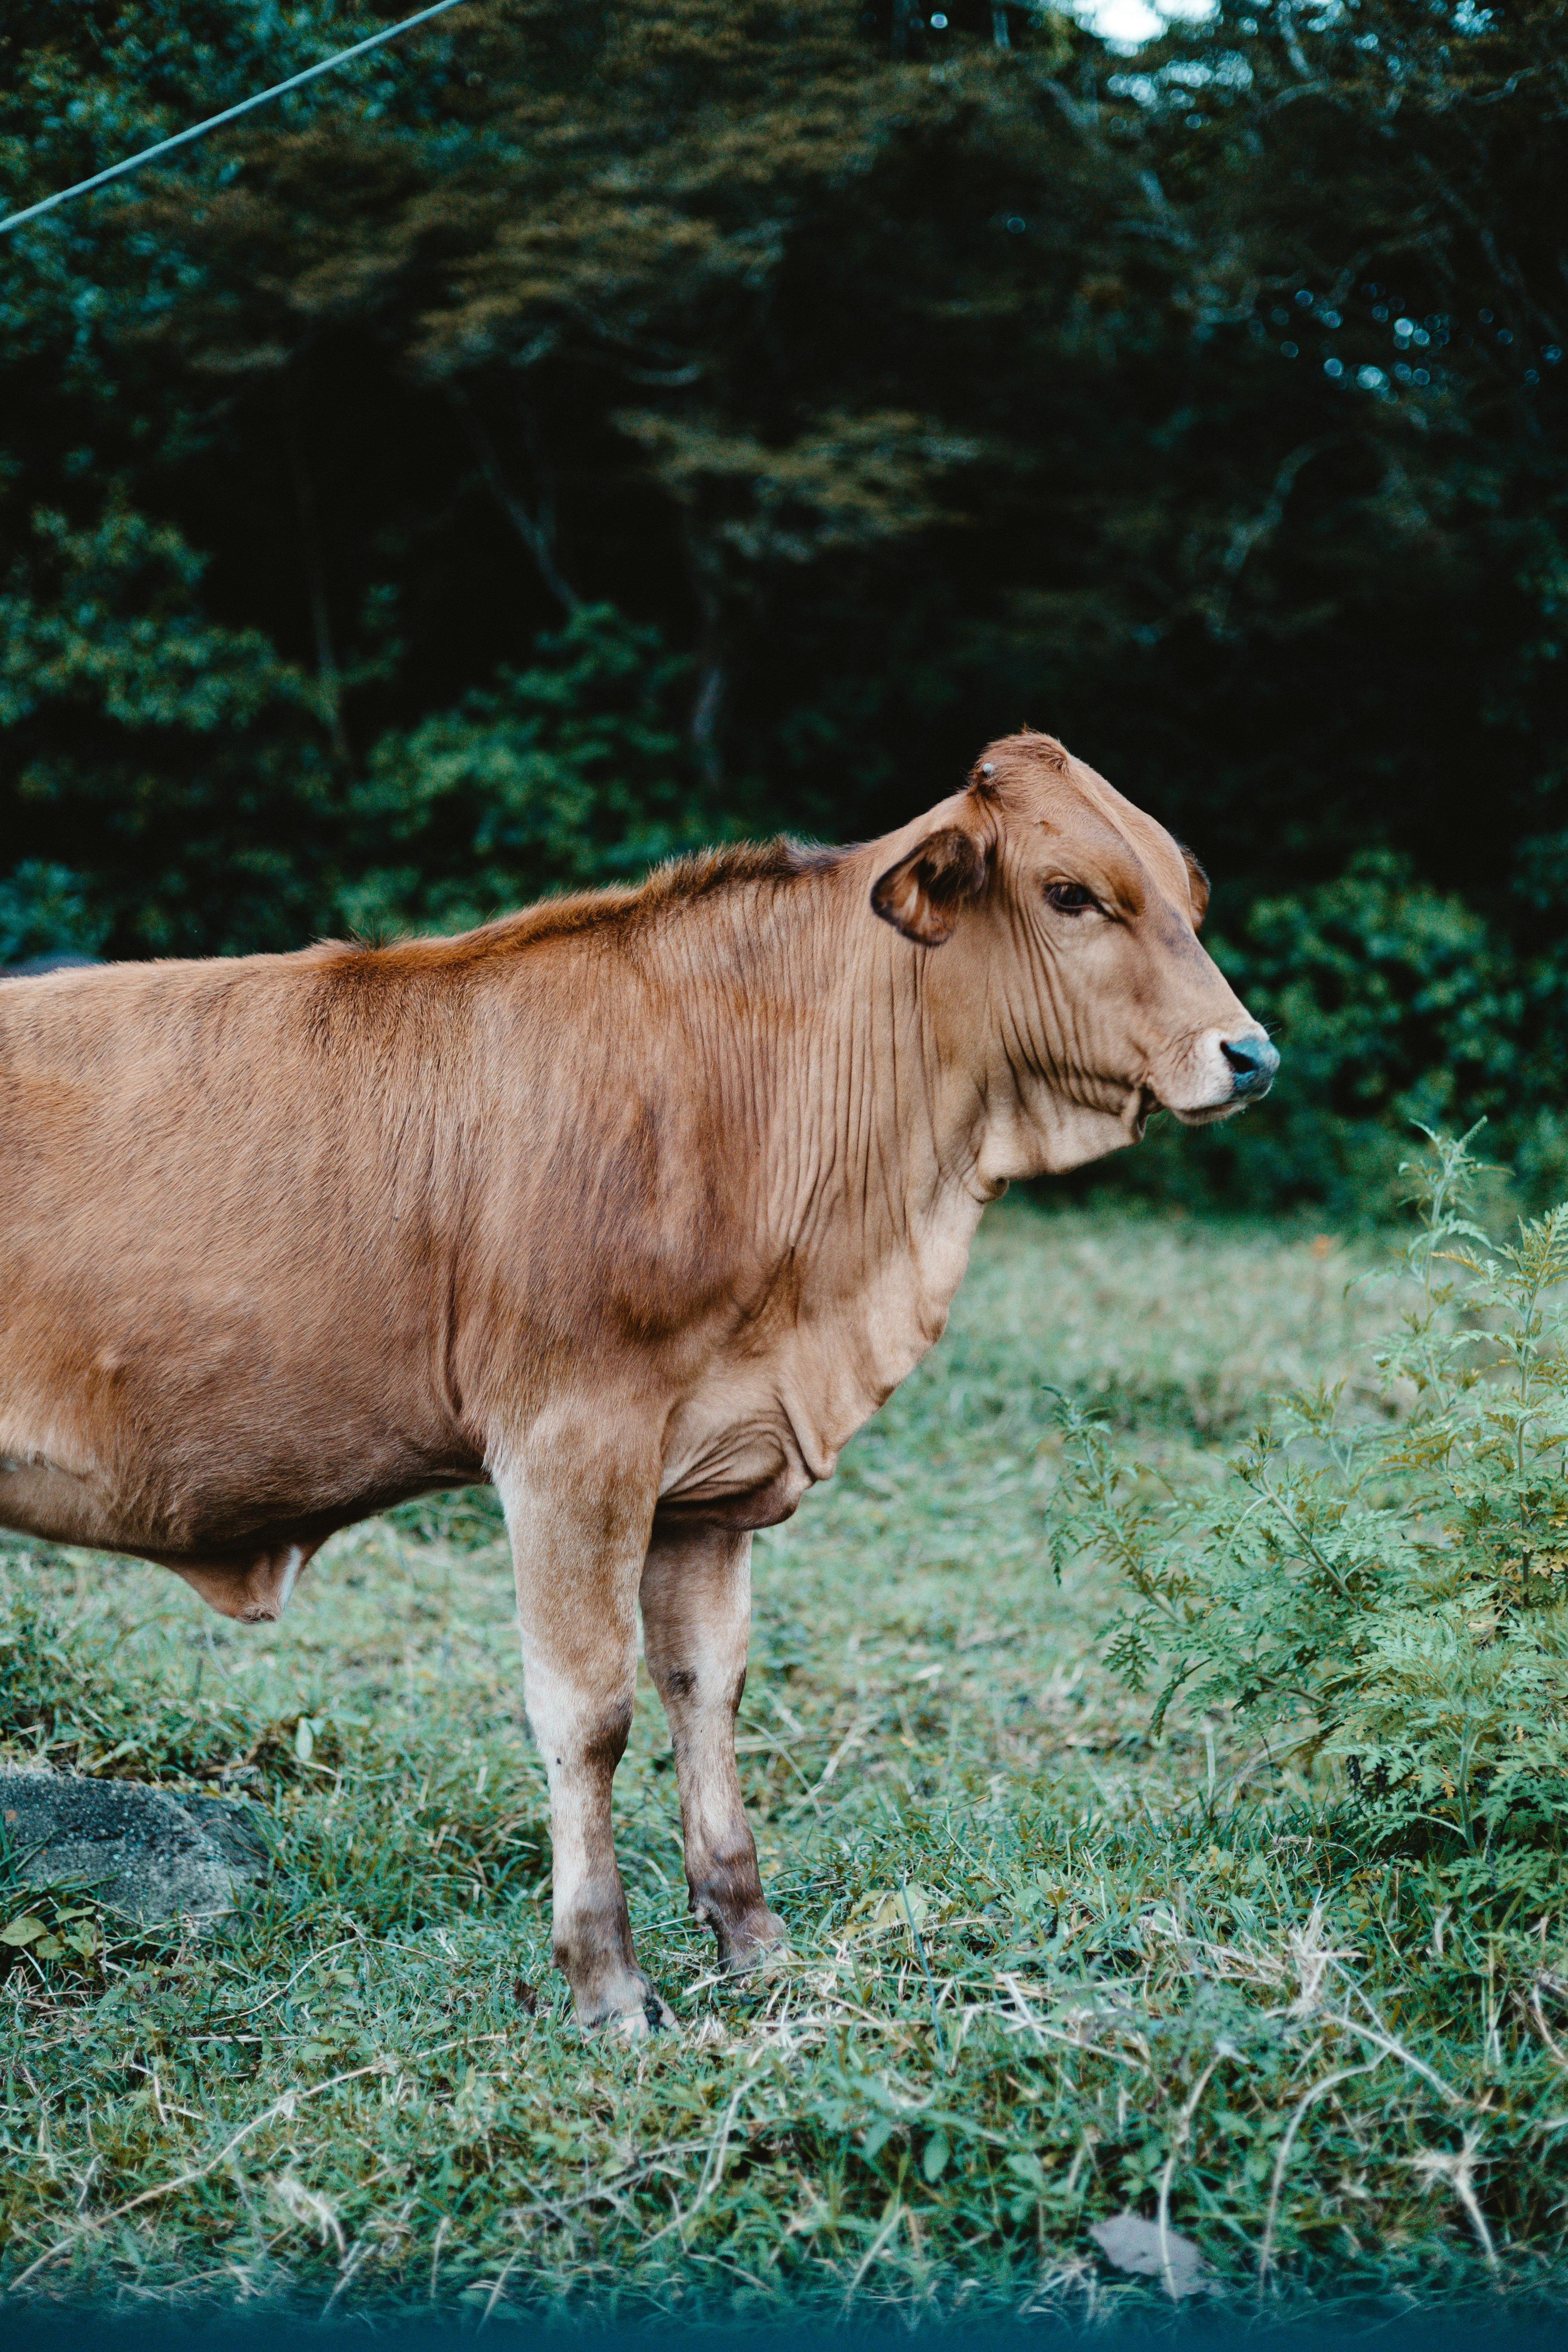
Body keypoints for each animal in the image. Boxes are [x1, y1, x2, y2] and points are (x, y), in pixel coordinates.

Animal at [0, 729, 1277, 2032]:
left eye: (1187, 896)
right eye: (1071, 894)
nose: (1251, 1054)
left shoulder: (712, 1468)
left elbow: (706, 1685)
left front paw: (753, 1940)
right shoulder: (571, 1441)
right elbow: (589, 1712)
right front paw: (607, 1983)